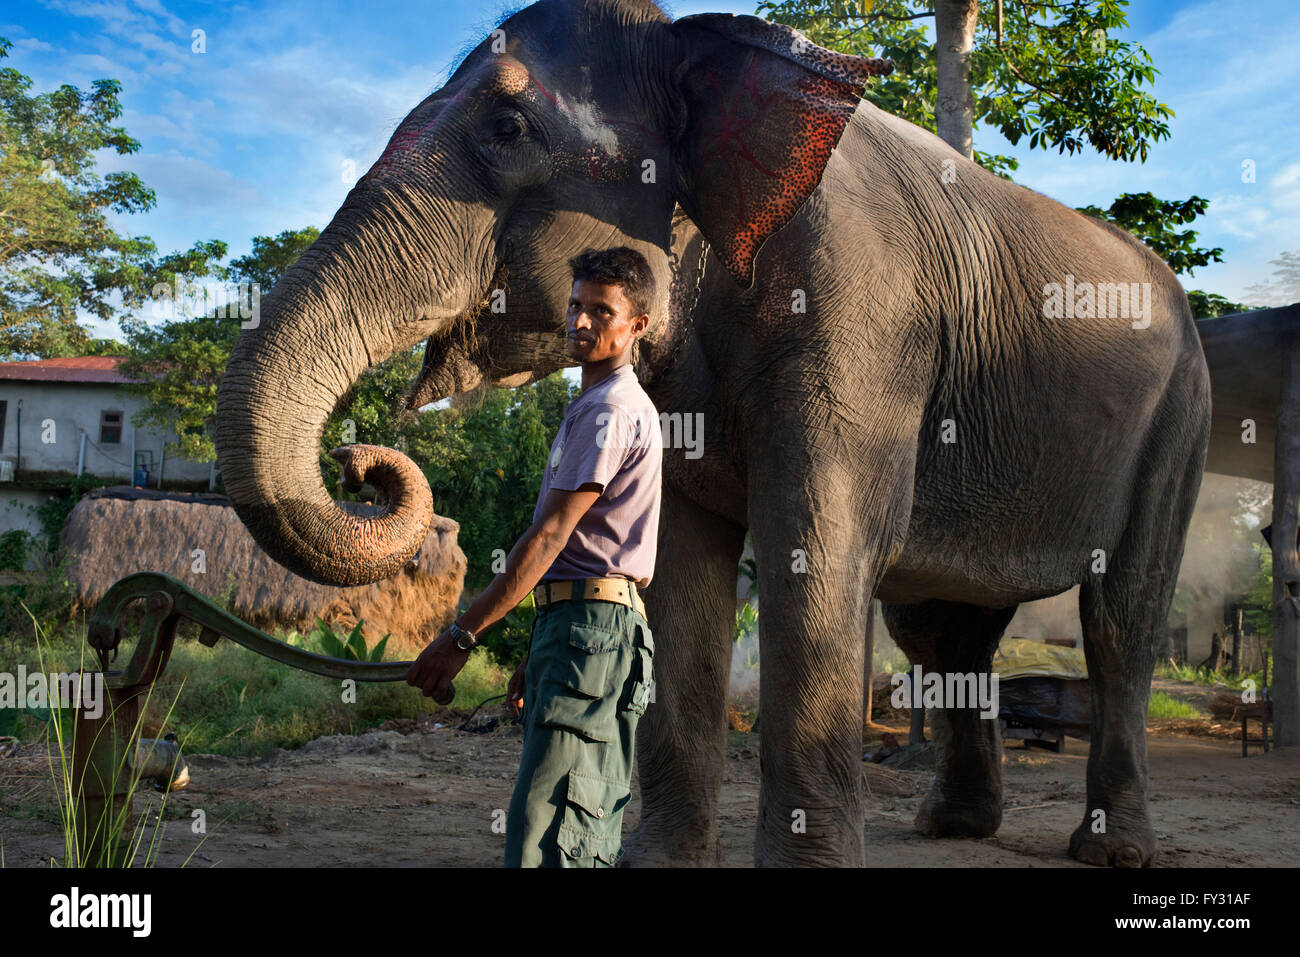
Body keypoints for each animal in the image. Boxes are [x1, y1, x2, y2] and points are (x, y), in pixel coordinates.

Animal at [215, 0, 1211, 867]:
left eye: (506, 126)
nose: (361, 460)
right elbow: (683, 562)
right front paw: (663, 863)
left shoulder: (860, 321)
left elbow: (819, 551)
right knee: (943, 628)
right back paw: (951, 827)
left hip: (1180, 417)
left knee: (1121, 615)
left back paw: (1111, 850)